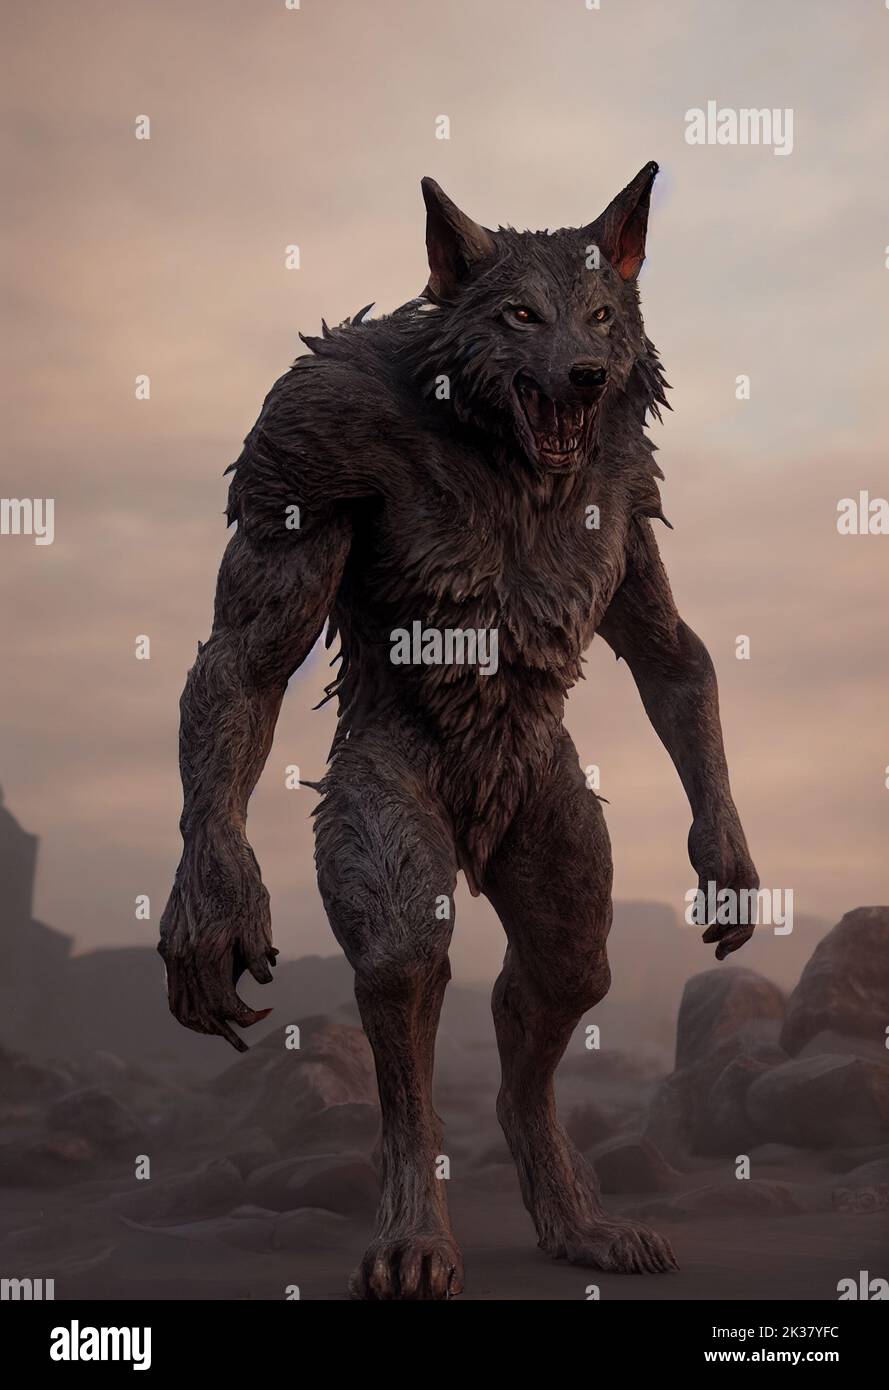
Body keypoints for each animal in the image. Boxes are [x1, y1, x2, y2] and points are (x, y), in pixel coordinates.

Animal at [159, 163, 759, 1298]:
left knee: (562, 974)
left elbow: (669, 653)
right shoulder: (310, 440)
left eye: (601, 315)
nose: (583, 375)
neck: (508, 459)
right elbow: (246, 661)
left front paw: (727, 856)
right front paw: (212, 896)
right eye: (518, 314)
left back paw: (572, 1214)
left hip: (553, 819)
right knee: (405, 954)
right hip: (385, 799)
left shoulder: (628, 492)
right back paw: (415, 1234)